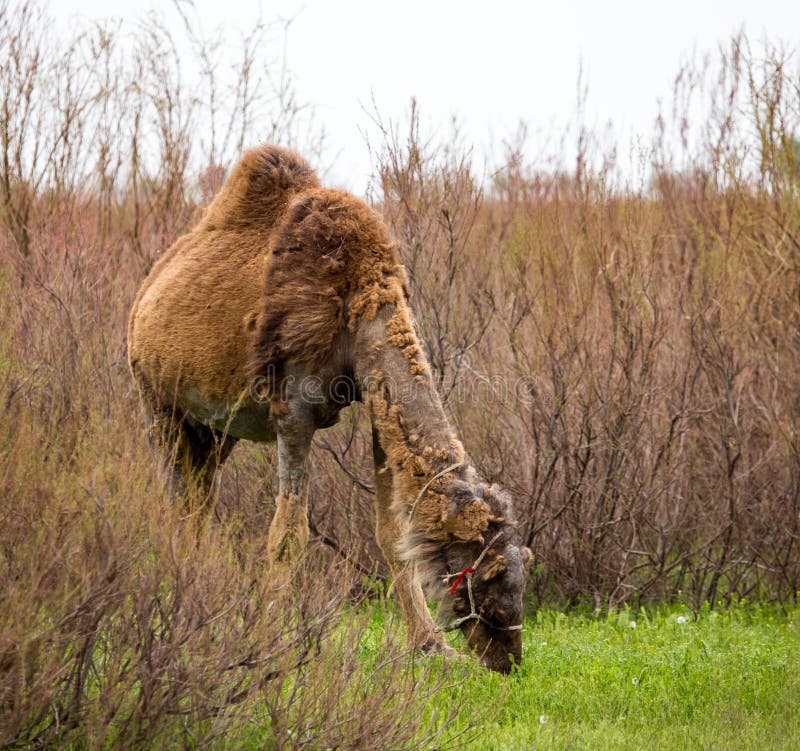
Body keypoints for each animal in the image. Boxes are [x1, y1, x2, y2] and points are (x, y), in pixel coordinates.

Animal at [127, 144, 529, 673]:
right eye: (484, 573)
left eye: (520, 574)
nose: (509, 659)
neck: (357, 300)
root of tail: (144, 294)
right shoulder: (292, 410)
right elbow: (287, 535)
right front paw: (266, 646)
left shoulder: (376, 402)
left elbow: (391, 531)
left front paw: (430, 646)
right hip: (156, 401)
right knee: (175, 507)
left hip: (213, 430)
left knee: (198, 503)